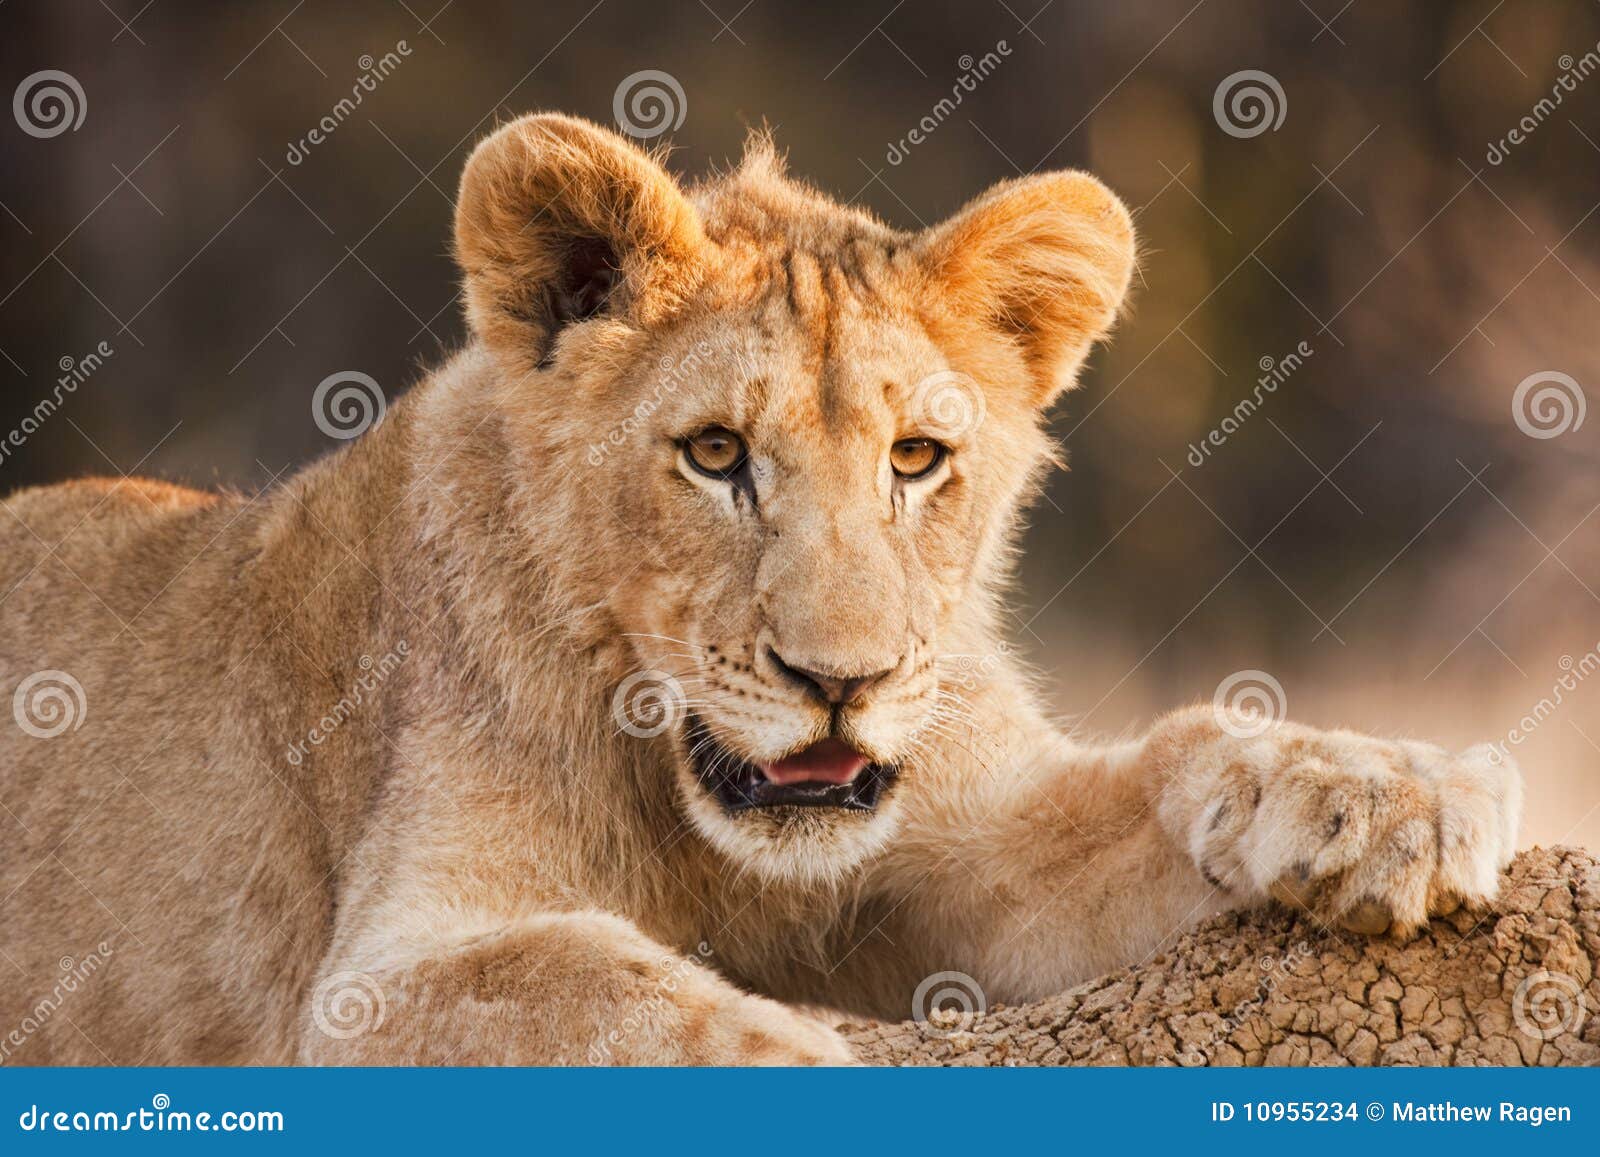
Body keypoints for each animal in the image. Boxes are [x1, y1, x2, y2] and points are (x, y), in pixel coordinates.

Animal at [0, 113, 1521, 1066]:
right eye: (717, 453)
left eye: (915, 457)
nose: (839, 682)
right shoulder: (373, 983)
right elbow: (610, 991)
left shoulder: (964, 844)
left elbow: (1167, 762)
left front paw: (1384, 787)